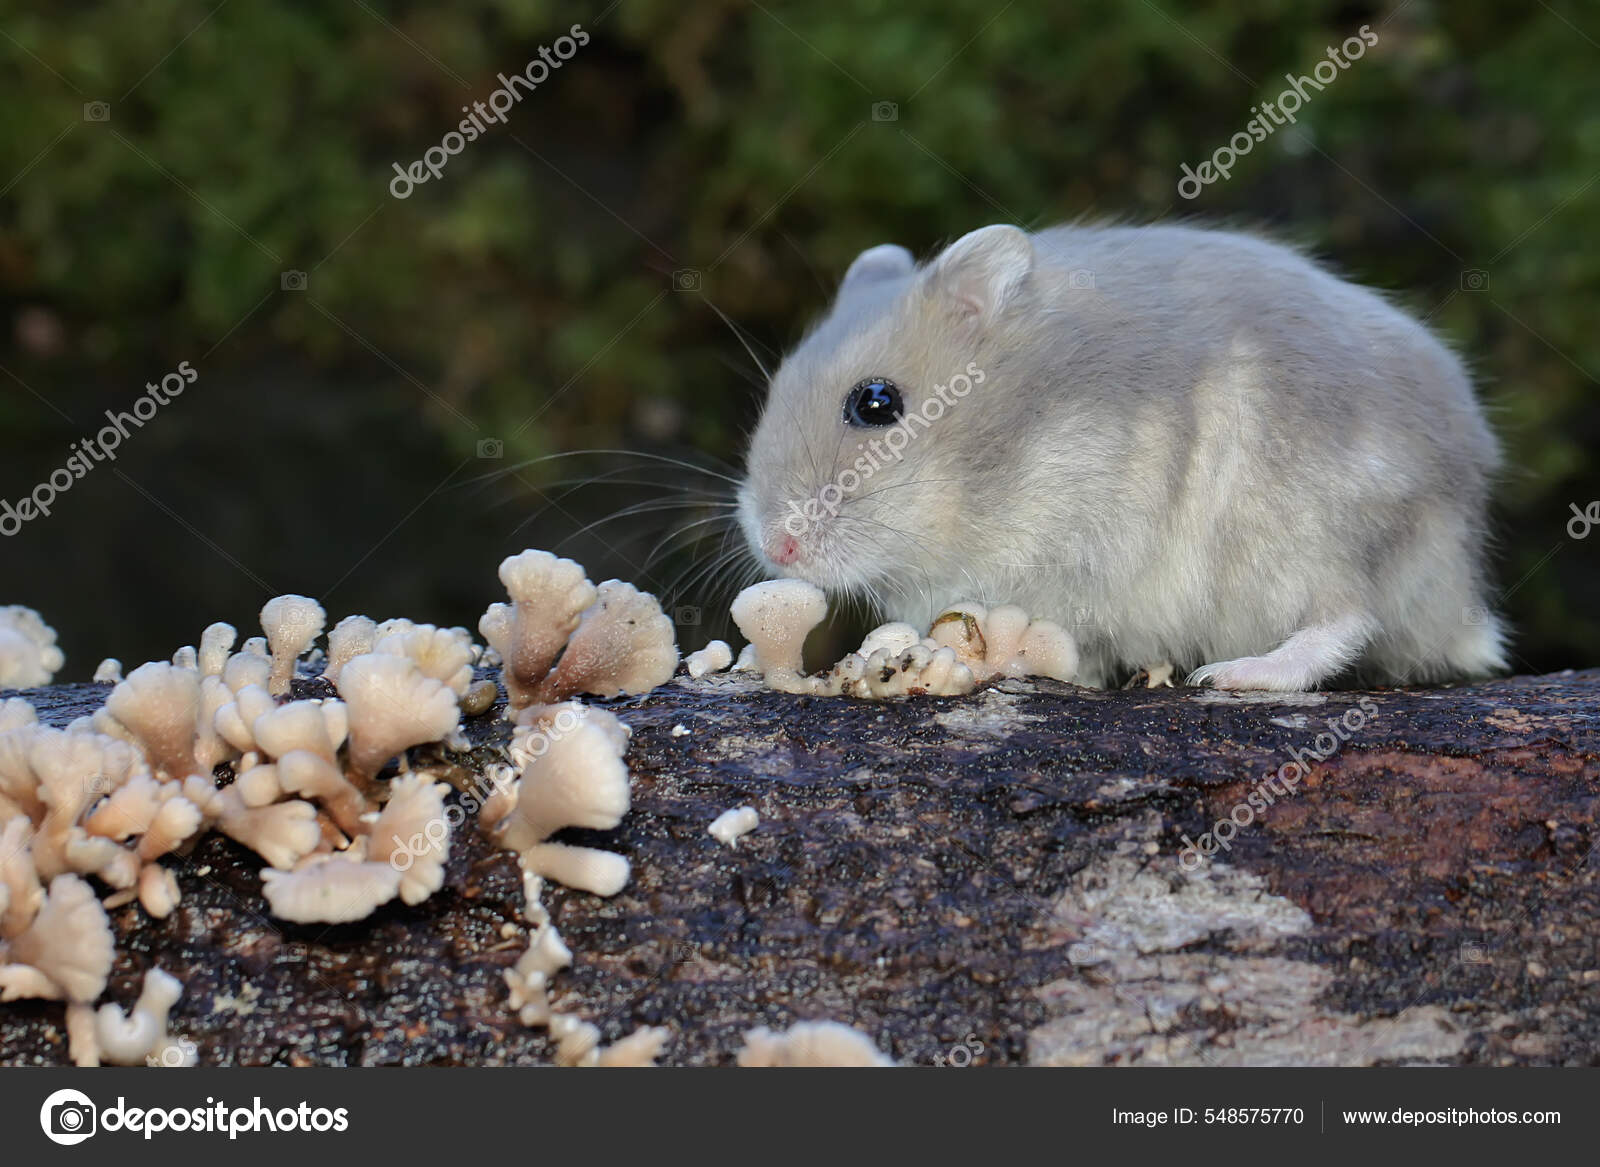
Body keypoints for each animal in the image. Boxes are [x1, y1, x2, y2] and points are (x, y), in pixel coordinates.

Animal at [735, 223, 1506, 691]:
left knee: (1346, 620)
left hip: (1304, 541)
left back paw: (1232, 675)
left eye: (876, 403)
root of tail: (1460, 587)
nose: (776, 547)